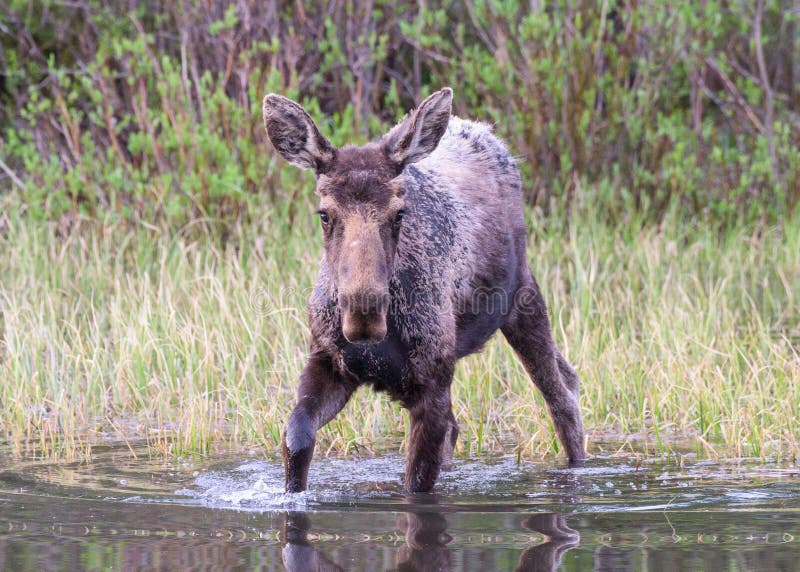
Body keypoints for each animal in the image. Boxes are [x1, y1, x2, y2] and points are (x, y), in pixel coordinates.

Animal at [262, 87, 585, 494]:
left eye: (399, 213)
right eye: (324, 214)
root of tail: (485, 132)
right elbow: (296, 438)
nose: (363, 313)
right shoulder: (328, 361)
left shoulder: (431, 383)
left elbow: (416, 485)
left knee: (563, 399)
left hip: (524, 299)